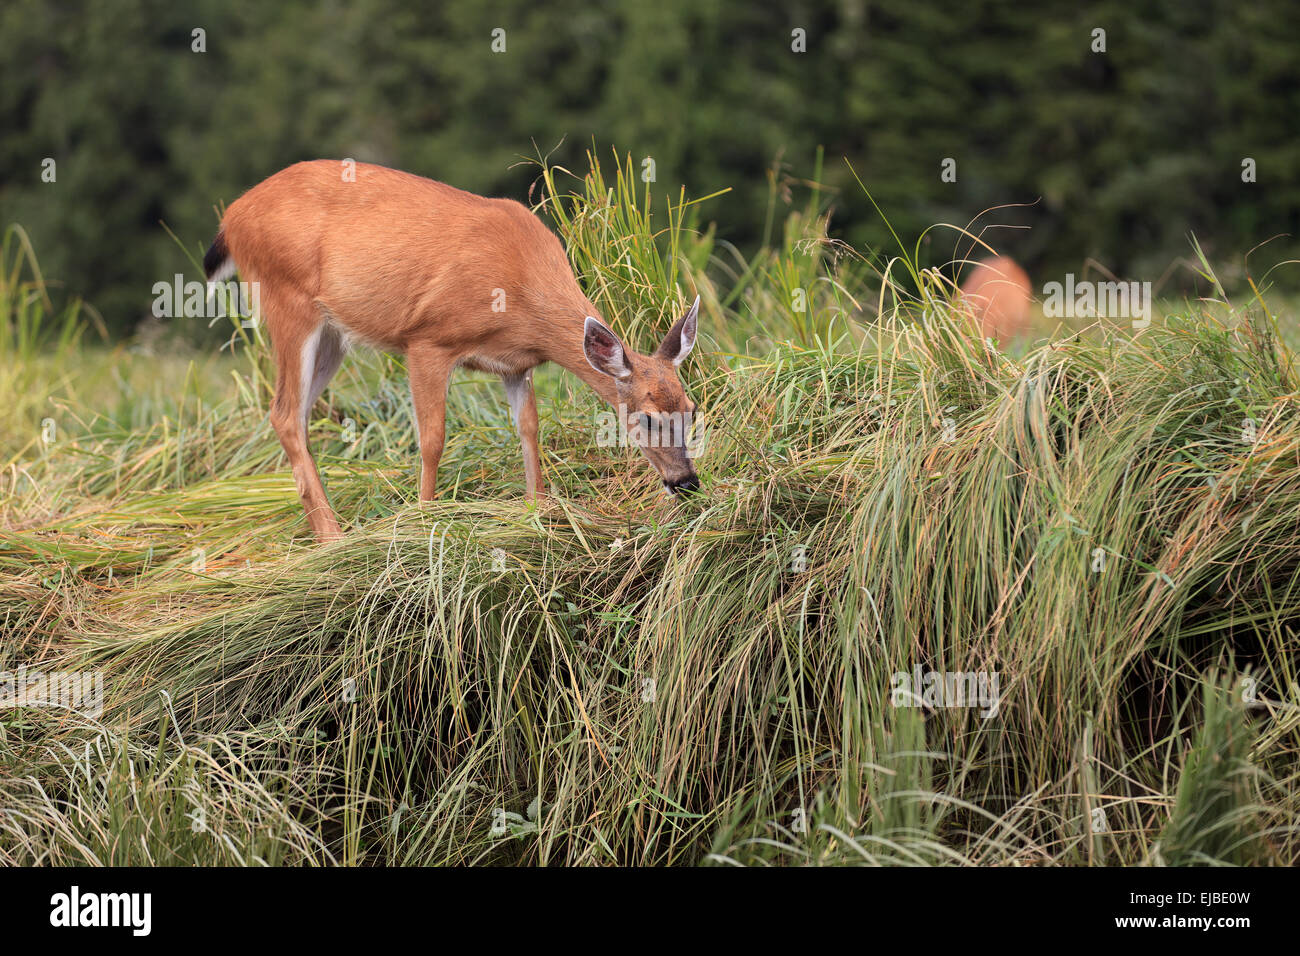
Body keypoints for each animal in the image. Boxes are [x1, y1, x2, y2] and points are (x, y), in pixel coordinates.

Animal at [203, 160, 702, 543]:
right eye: (647, 418)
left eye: (692, 410)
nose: (687, 483)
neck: (522, 286)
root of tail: (232, 217)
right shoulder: (427, 340)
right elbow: (433, 439)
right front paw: (424, 519)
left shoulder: (517, 365)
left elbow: (529, 429)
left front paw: (537, 509)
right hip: (287, 299)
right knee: (285, 413)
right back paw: (332, 537)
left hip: (331, 332)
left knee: (297, 414)